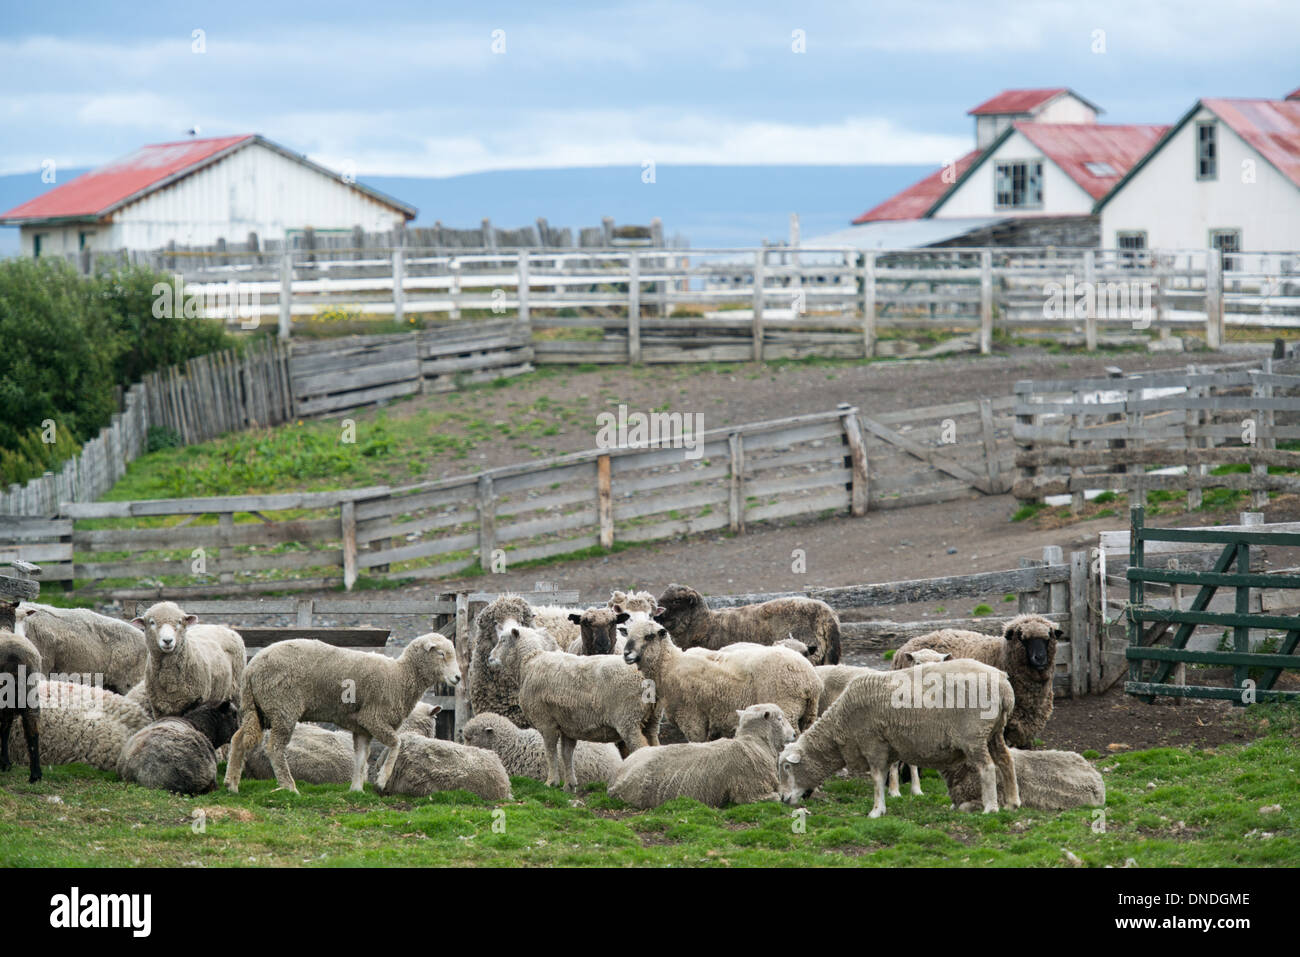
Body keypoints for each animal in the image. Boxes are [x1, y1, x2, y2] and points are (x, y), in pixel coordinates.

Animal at [224, 632, 460, 795]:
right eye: (441, 654)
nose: (458, 678)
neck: (400, 676)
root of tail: (251, 668)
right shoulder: (373, 718)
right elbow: (397, 743)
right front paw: (381, 780)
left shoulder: (362, 727)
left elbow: (361, 757)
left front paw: (357, 789)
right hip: (283, 707)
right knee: (274, 748)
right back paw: (290, 787)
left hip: (260, 709)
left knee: (238, 739)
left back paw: (232, 784)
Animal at [488, 620, 657, 792]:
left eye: (502, 640)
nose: (490, 657)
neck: (529, 662)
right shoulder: (568, 726)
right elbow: (566, 754)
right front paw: (569, 785)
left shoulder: (546, 722)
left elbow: (550, 752)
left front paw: (551, 782)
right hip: (651, 720)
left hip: (629, 720)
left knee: (641, 748)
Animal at [609, 703, 797, 809]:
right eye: (779, 719)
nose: (795, 734)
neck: (753, 744)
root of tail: (616, 780)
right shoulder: (752, 794)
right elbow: (777, 798)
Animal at [621, 618, 820, 743]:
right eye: (627, 634)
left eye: (649, 636)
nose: (626, 654)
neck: (669, 664)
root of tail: (810, 680)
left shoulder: (692, 718)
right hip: (808, 714)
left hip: (787, 707)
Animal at [777, 659, 1019, 817]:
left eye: (787, 768)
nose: (783, 800)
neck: (840, 724)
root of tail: (1004, 685)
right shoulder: (888, 744)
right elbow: (888, 773)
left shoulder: (872, 742)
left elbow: (876, 778)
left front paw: (876, 811)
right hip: (994, 732)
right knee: (1006, 762)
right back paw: (1012, 804)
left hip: (973, 734)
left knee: (987, 767)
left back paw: (991, 808)